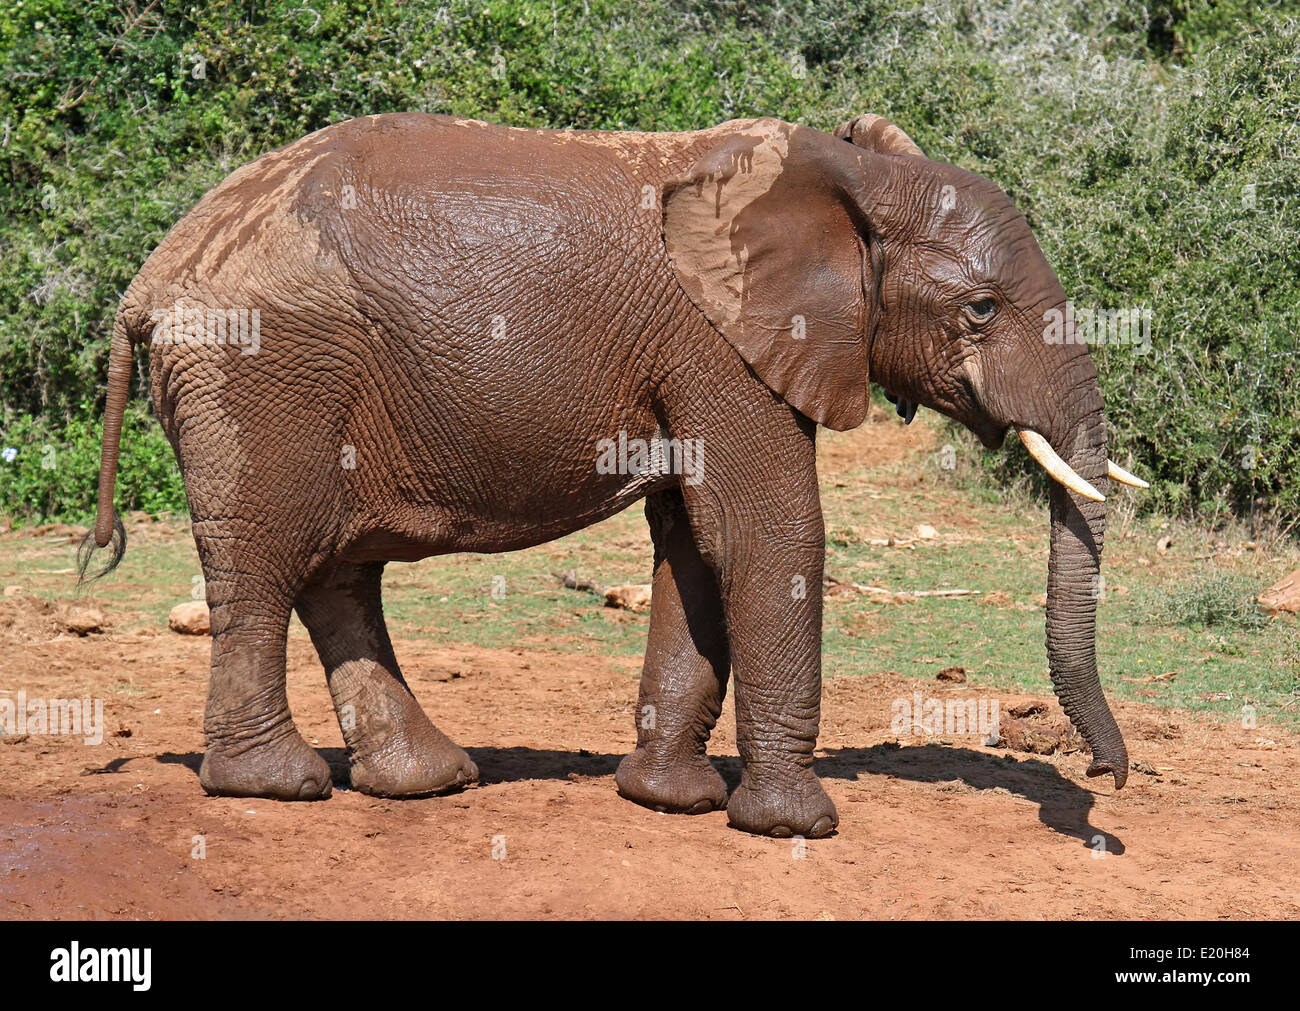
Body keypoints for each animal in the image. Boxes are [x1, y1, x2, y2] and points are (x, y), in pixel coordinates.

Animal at [82, 111, 1145, 838]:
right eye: (981, 309)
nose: (1110, 783)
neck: (839, 174)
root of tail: (149, 276)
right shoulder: (717, 344)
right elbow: (768, 533)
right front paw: (795, 824)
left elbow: (695, 544)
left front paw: (671, 799)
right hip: (261, 375)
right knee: (267, 565)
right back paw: (277, 784)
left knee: (339, 572)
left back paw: (425, 778)